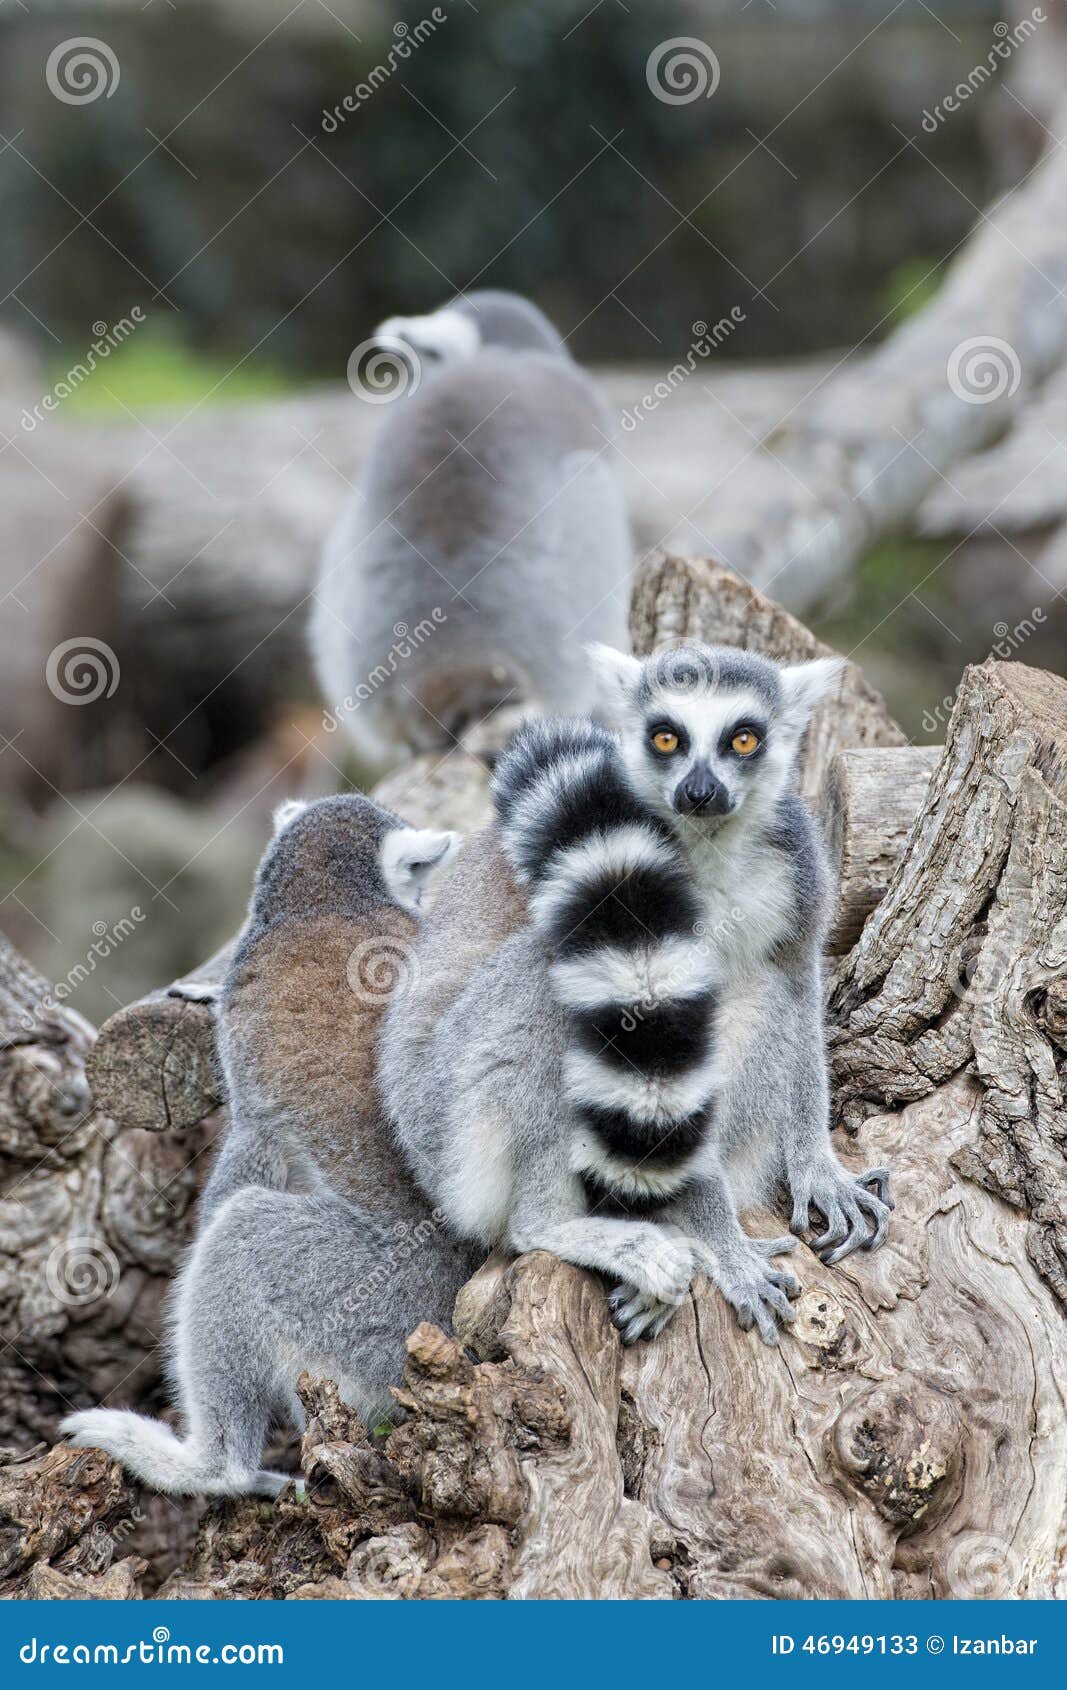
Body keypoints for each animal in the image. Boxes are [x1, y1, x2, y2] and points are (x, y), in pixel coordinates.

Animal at [61, 794, 478, 1496]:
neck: (328, 896)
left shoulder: (255, 1086)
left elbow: (246, 1159)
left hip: (360, 1302)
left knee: (242, 1237)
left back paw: (213, 1467)